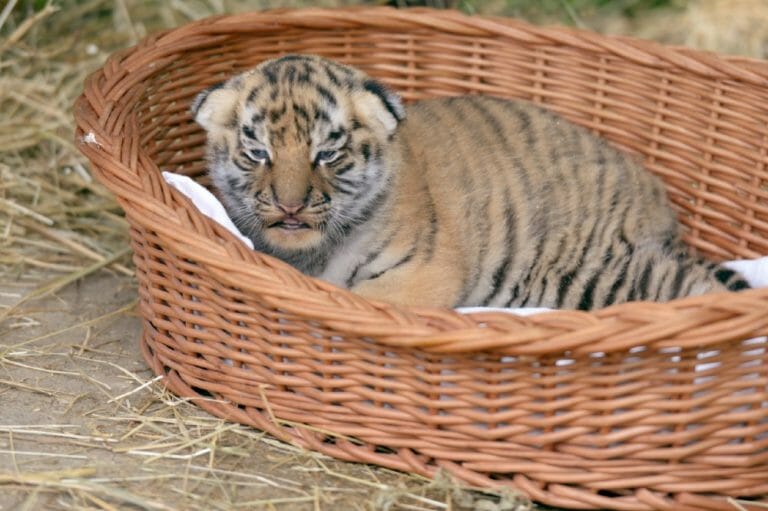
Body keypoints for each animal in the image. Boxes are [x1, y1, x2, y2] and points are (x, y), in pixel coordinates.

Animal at [191, 54, 749, 310]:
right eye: (258, 152)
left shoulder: (422, 274)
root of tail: (657, 196)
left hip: (602, 274)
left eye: (326, 153)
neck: (310, 253)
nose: (290, 207)